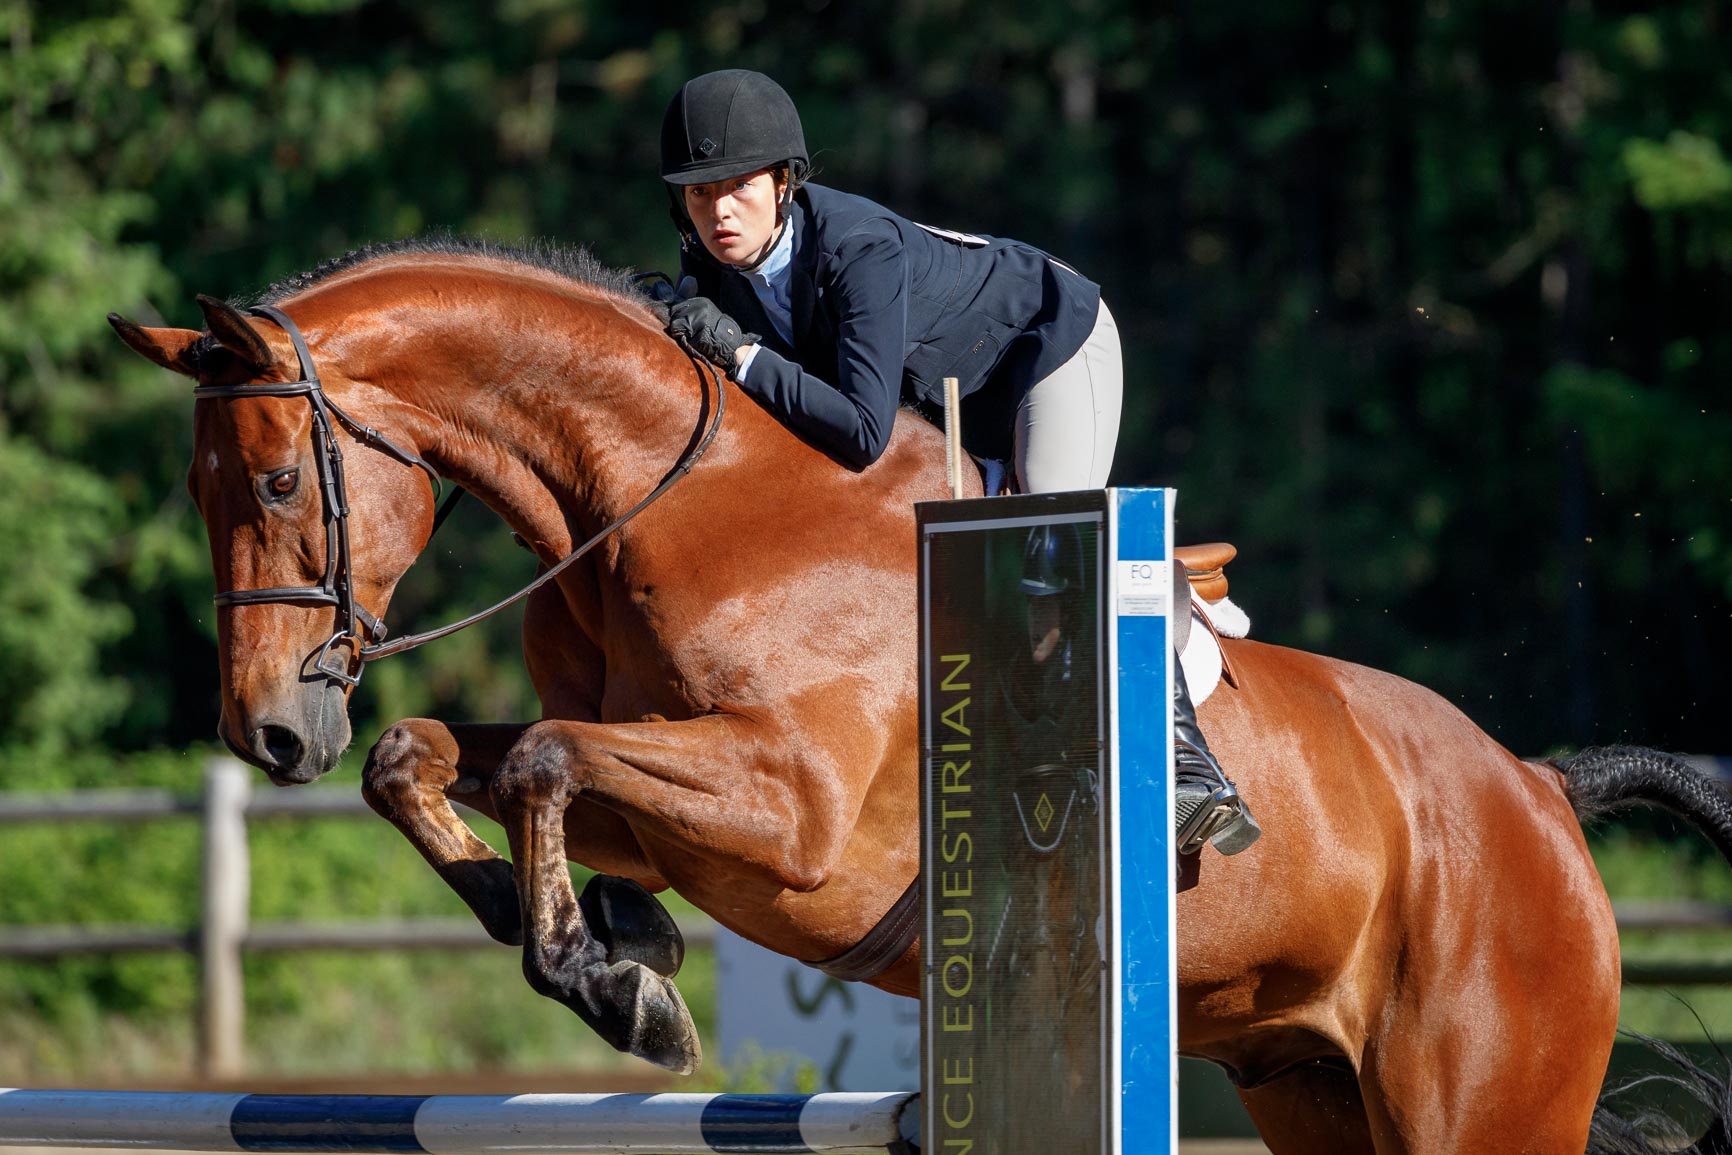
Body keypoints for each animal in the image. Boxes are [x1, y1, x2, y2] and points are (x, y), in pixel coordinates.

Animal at [109, 237, 1732, 1153]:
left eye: (273, 482)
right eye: (196, 493)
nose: (269, 731)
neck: (658, 498)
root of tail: (1537, 791)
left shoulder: (795, 815)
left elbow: (544, 758)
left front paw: (611, 975)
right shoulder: (685, 793)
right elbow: (433, 752)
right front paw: (594, 931)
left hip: (1483, 1101)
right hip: (1307, 1087)